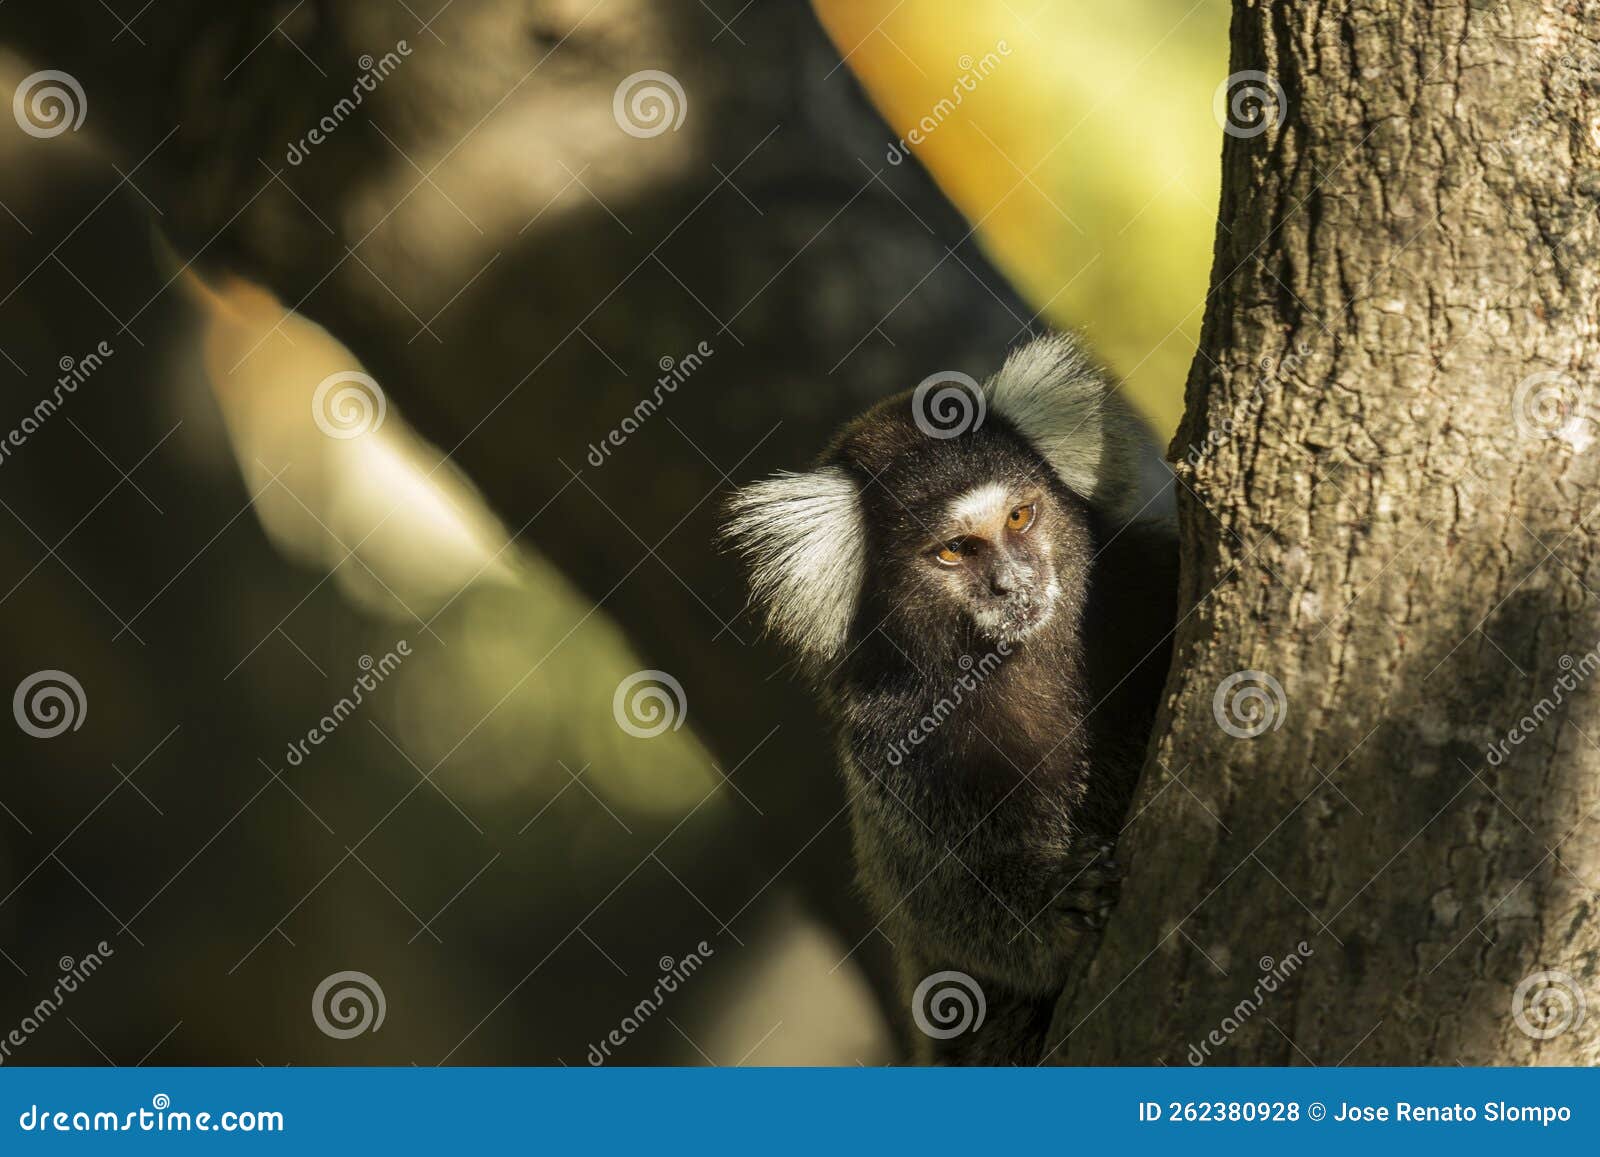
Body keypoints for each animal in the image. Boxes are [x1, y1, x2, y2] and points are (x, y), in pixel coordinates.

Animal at [721, 334, 1178, 1064]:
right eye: (955, 551)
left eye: (1020, 517)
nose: (1015, 582)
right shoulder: (890, 744)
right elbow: (935, 901)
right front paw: (1056, 905)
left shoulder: (1147, 571)